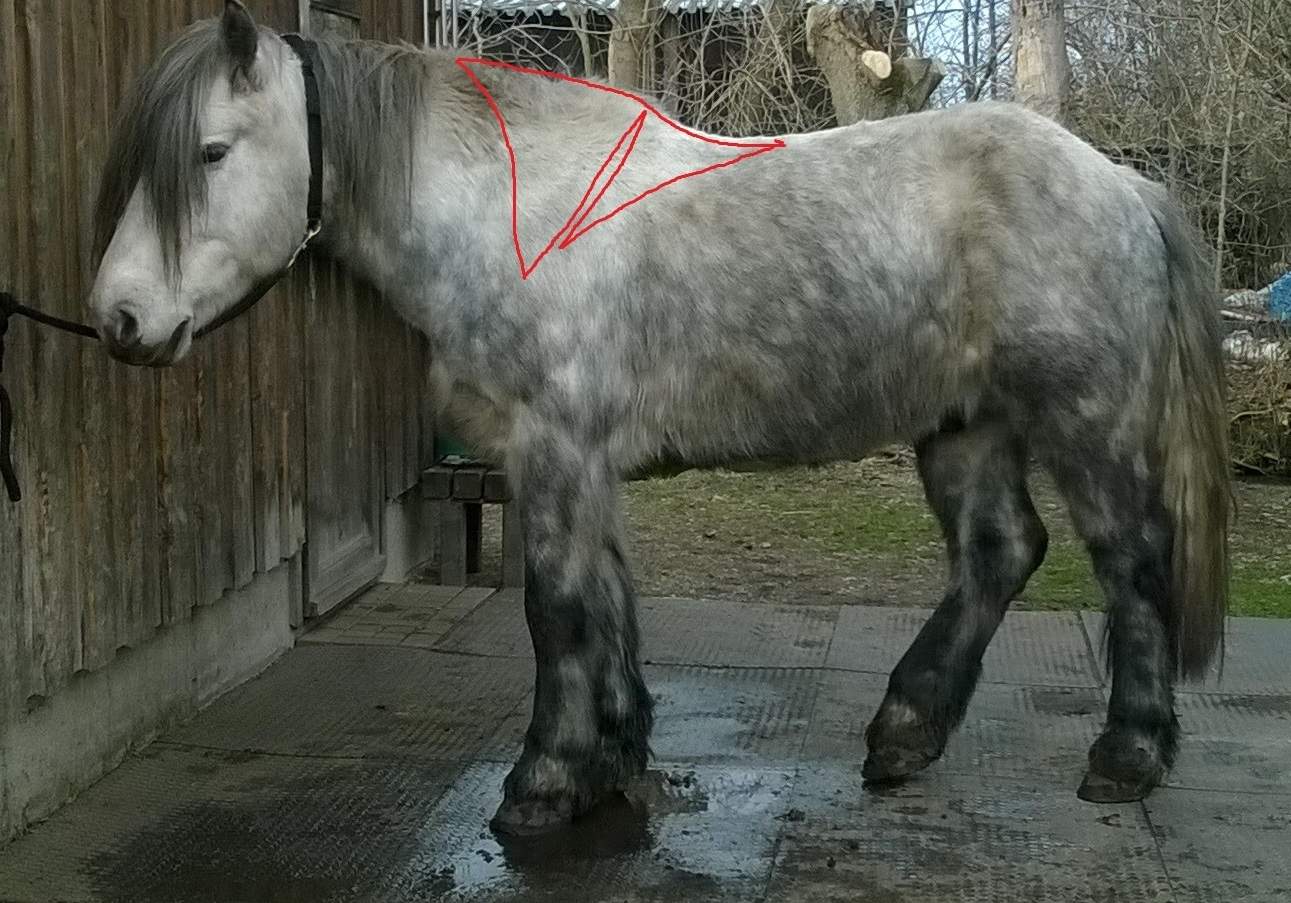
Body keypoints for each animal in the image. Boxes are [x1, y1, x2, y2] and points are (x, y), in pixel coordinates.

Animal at [88, 1, 1230, 834]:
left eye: (212, 152)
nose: (120, 318)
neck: (507, 211)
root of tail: (1121, 185)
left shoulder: (553, 450)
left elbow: (555, 610)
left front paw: (544, 783)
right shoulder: (576, 464)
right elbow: (605, 605)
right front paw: (616, 756)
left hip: (1084, 424)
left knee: (1129, 560)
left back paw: (1126, 755)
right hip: (965, 425)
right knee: (999, 553)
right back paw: (904, 732)